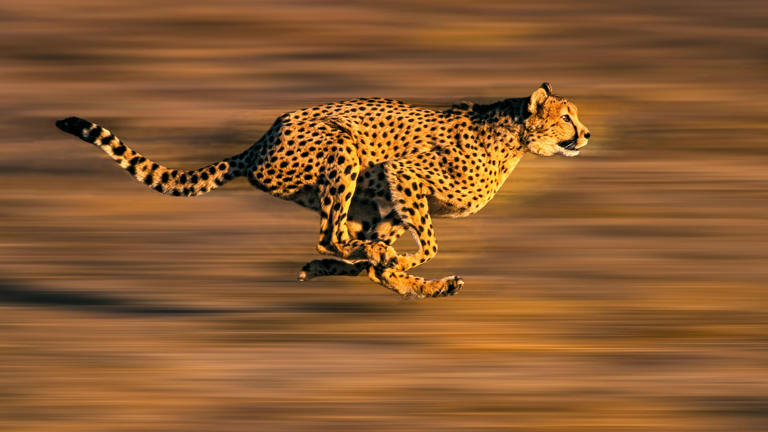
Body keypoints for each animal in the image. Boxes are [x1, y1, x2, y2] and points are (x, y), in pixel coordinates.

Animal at [55, 82, 590, 298]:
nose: (586, 135)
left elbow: (392, 254)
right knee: (331, 236)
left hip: (356, 192)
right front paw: (401, 262)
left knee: (343, 244)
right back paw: (367, 262)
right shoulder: (403, 173)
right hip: (343, 148)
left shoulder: (391, 197)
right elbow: (428, 244)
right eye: (566, 117)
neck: (515, 137)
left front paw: (400, 270)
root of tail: (261, 139)